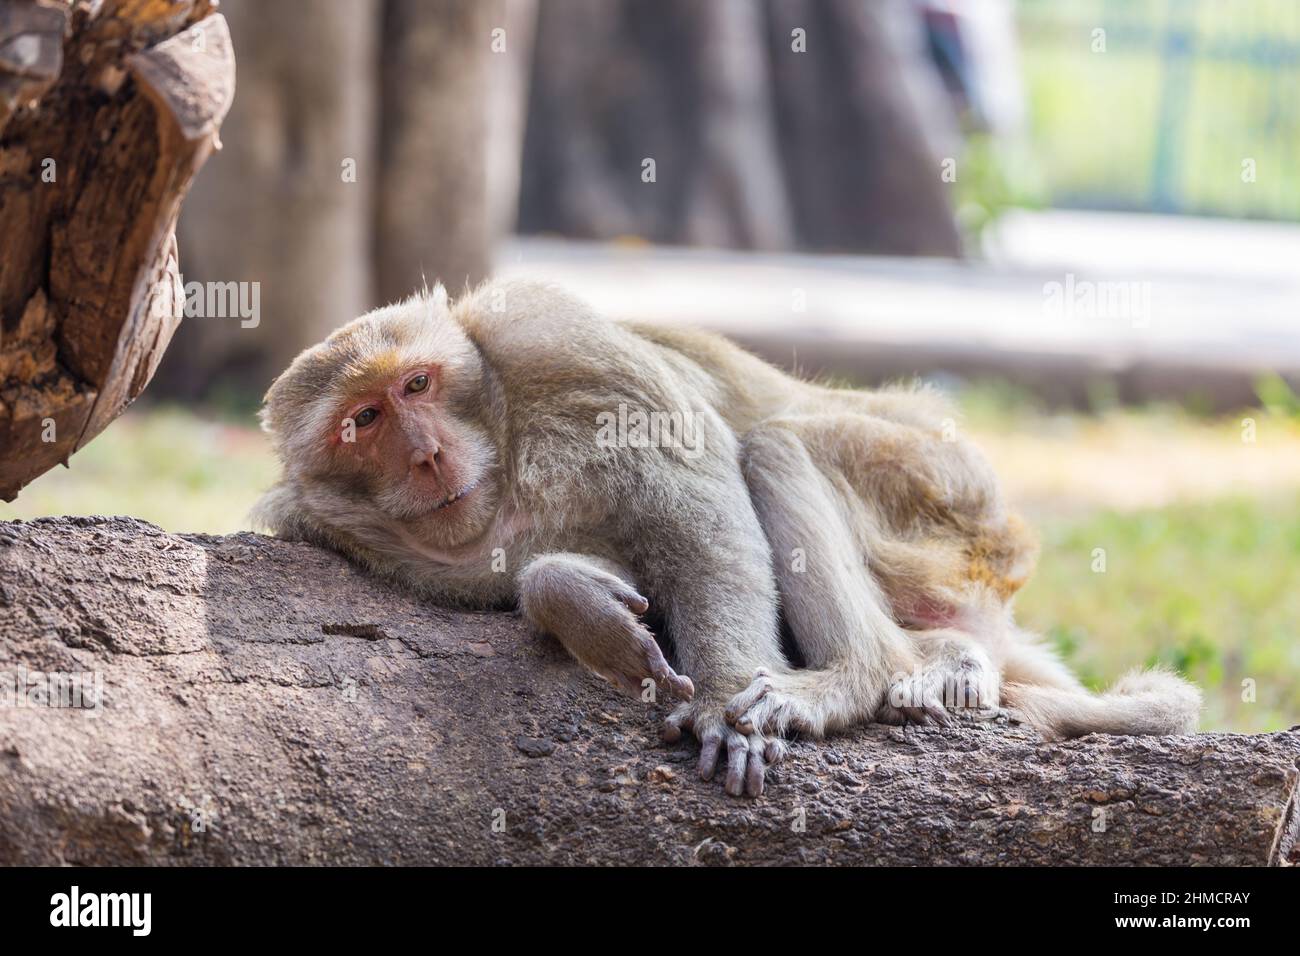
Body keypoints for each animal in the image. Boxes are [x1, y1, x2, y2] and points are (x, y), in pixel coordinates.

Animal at [253, 279, 1201, 798]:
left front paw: (718, 699)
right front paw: (580, 604)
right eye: (365, 420)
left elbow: (701, 505)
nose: (427, 454)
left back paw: (860, 678)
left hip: (947, 496)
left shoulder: (551, 336)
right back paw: (948, 663)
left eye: (418, 384)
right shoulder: (332, 526)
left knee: (777, 447)